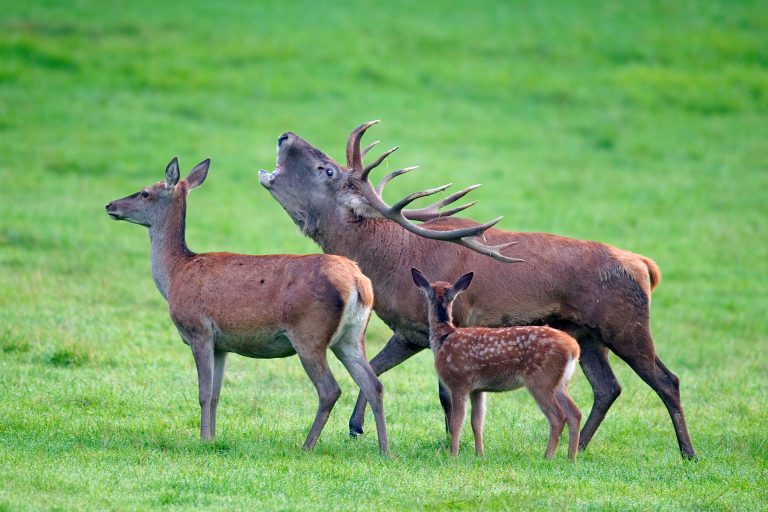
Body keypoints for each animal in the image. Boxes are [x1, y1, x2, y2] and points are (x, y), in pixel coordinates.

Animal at [105, 157, 388, 455]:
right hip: (351, 336)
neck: (175, 273)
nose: (110, 205)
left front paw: (202, 439)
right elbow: (216, 395)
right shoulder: (221, 344)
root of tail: (359, 282)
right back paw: (384, 450)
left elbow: (203, 393)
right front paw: (212, 437)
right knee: (374, 384)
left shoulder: (199, 331)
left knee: (330, 389)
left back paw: (307, 445)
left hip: (309, 333)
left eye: (145, 192)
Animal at [411, 268, 581, 460]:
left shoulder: (458, 382)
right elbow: (477, 422)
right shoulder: (477, 389)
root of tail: (573, 348)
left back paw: (547, 457)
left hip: (541, 379)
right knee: (575, 414)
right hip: (560, 382)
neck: (444, 338)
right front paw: (480, 454)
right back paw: (571, 458)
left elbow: (457, 422)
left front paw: (453, 455)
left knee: (558, 417)